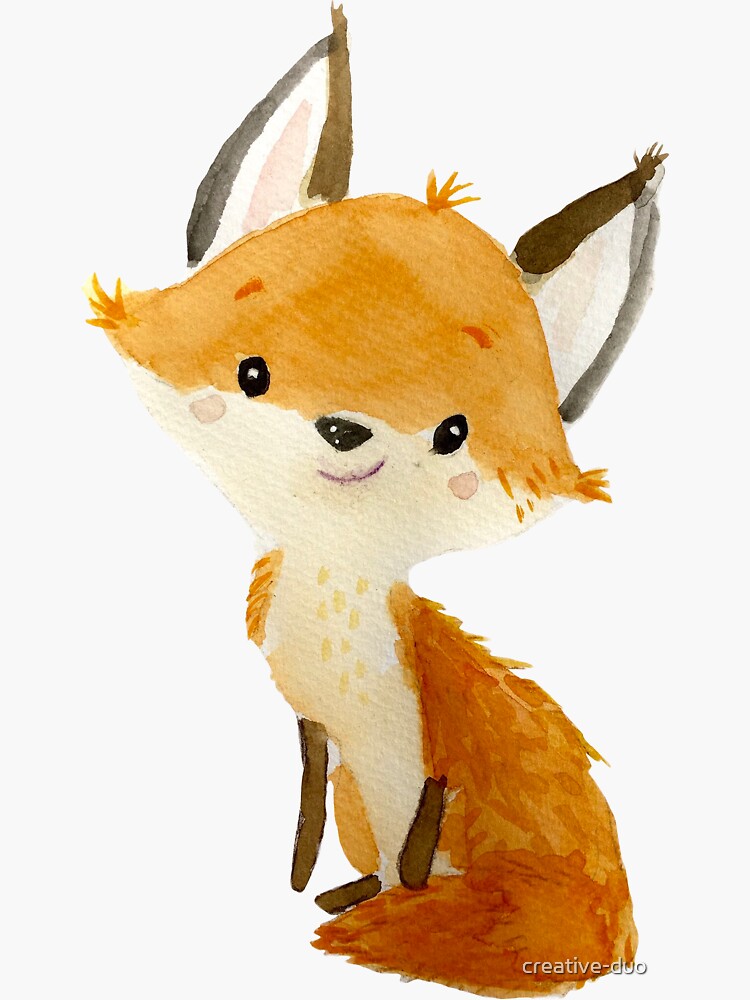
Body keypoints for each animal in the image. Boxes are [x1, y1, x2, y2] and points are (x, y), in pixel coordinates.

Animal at [87, 6, 666, 997]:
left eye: (453, 432)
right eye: (253, 372)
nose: (346, 429)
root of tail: (613, 919)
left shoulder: (417, 767)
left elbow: (411, 857)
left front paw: (377, 917)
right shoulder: (323, 743)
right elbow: (313, 828)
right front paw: (323, 890)